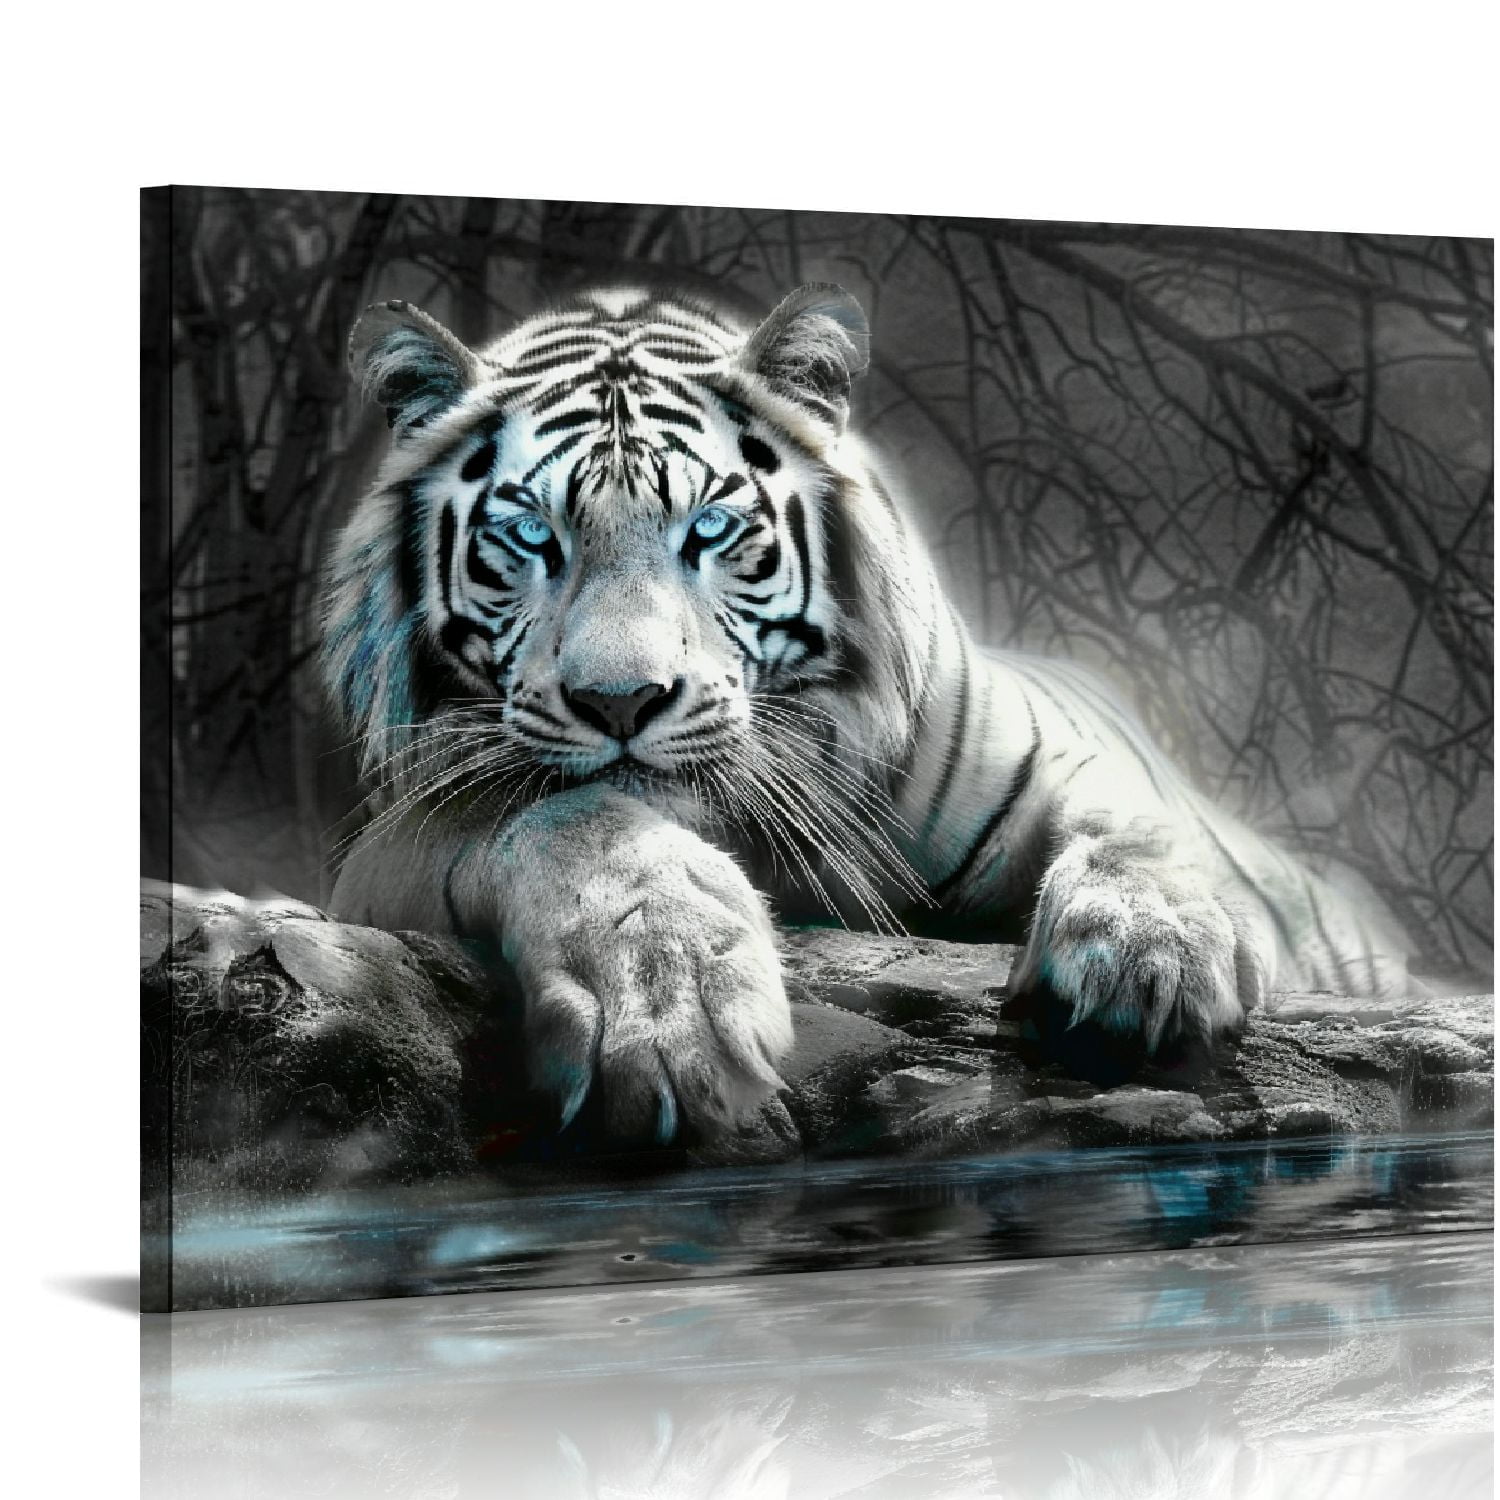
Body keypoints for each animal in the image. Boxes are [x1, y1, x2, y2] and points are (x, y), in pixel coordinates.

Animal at [321, 281, 1417, 1145]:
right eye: (529, 537)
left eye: (710, 528)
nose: (620, 700)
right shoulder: (389, 842)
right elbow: (565, 814)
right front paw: (665, 999)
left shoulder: (1059, 760)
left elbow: (1136, 826)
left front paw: (1154, 950)